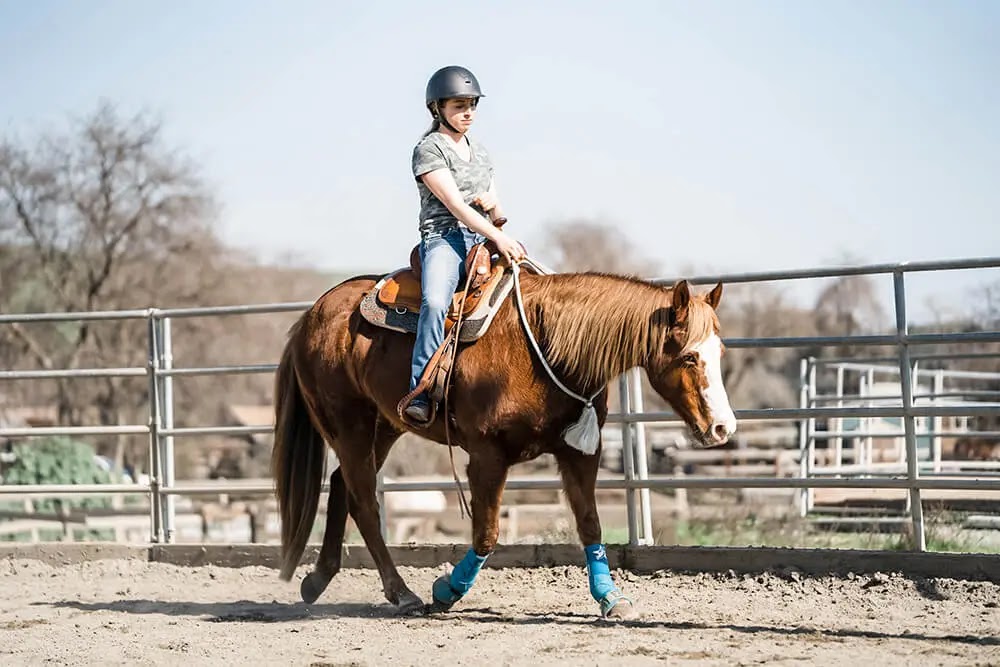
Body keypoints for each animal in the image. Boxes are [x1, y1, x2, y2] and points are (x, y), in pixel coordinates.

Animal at [270, 267, 736, 618]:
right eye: (689, 356)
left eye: (719, 353)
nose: (723, 428)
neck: (549, 348)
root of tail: (313, 314)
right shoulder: (487, 456)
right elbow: (487, 534)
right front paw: (447, 590)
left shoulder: (580, 453)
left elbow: (590, 523)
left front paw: (610, 597)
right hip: (349, 424)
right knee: (365, 501)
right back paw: (401, 592)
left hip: (383, 425)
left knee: (342, 487)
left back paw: (318, 579)